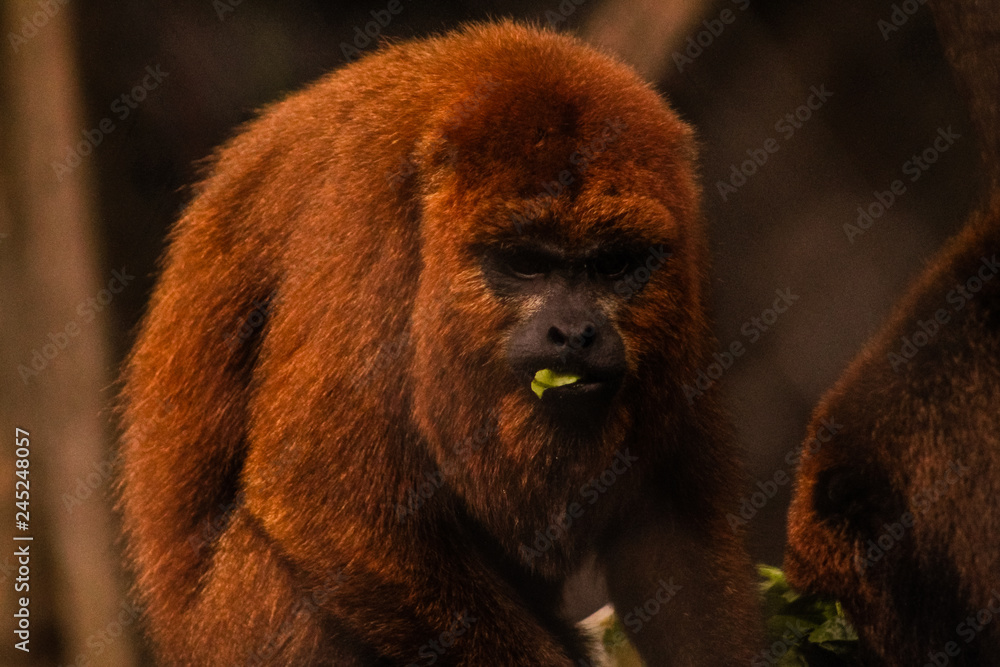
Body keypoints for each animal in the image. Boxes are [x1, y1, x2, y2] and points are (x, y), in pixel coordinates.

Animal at [119, 22, 760, 665]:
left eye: (612, 265)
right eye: (525, 263)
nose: (574, 332)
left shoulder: (687, 250)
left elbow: (675, 532)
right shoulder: (365, 213)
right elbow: (323, 498)